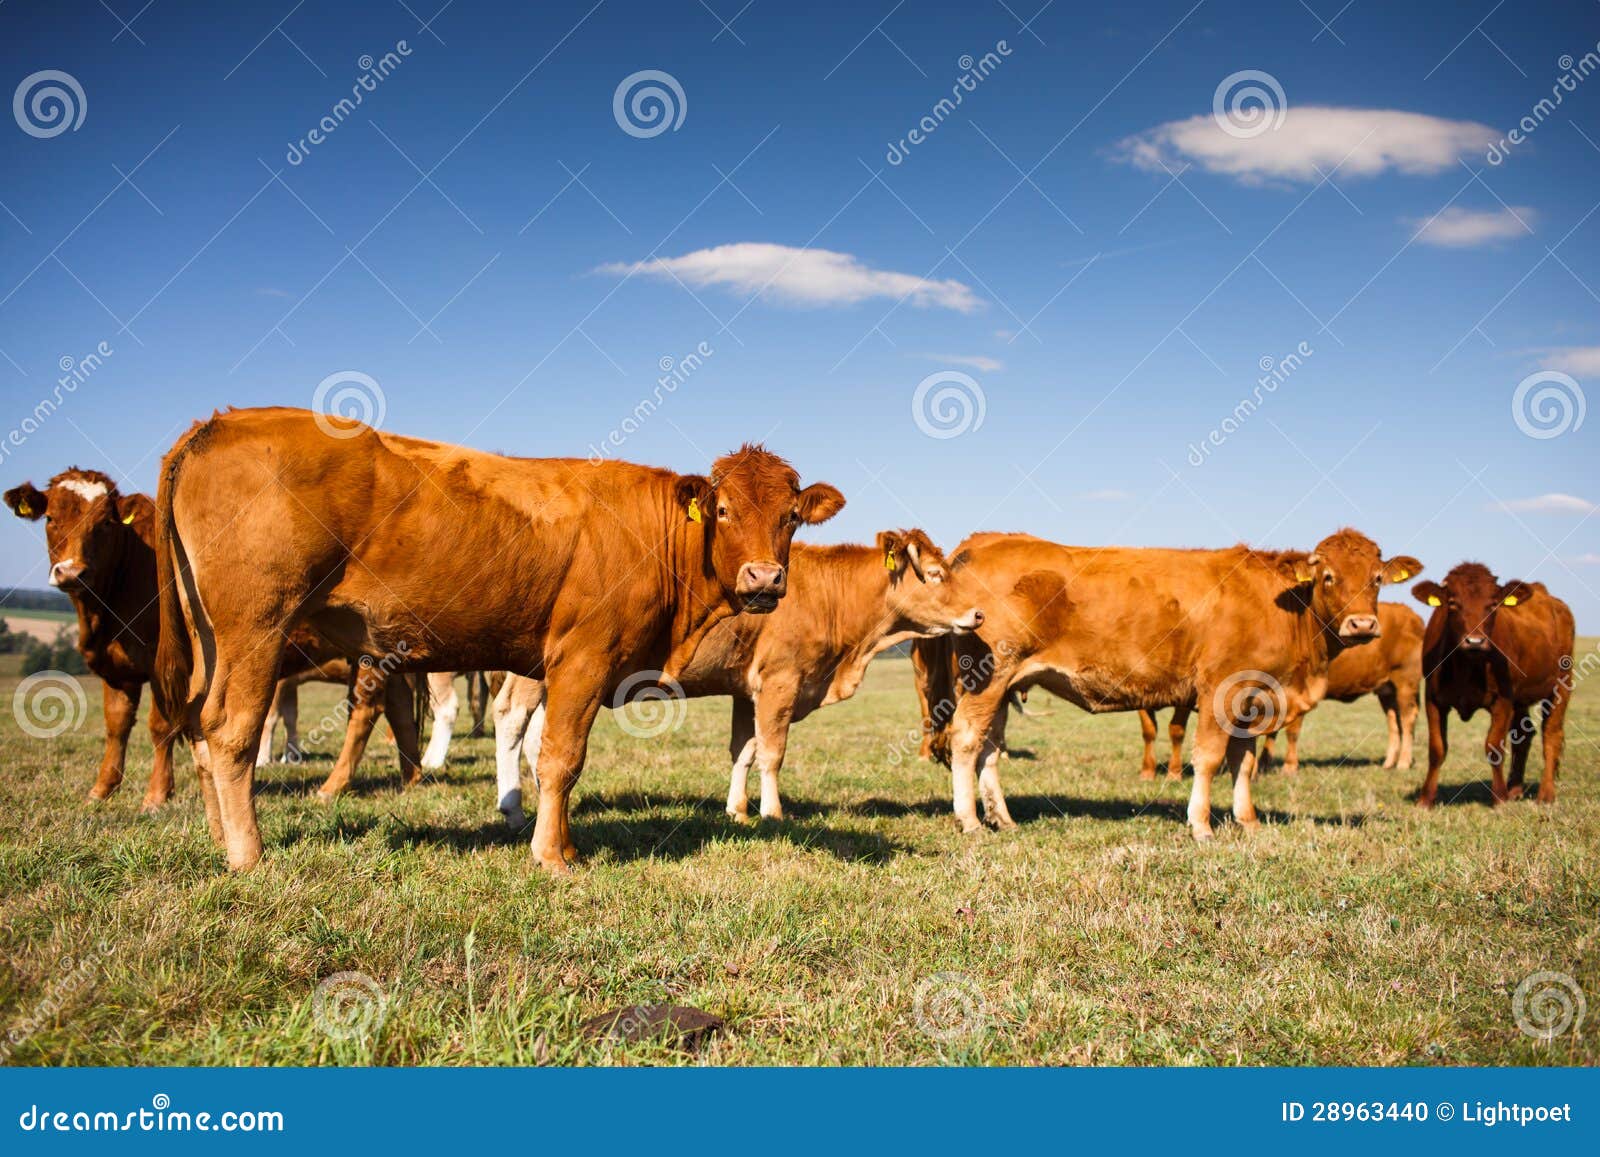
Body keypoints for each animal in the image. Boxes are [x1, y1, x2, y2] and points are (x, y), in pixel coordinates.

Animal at [5, 468, 422, 811]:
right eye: (51, 519)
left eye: (106, 523)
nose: (71, 572)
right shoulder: (117, 669)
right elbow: (116, 725)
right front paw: (102, 789)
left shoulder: (164, 666)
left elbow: (160, 727)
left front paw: (157, 795)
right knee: (399, 706)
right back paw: (410, 777)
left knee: (366, 711)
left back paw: (335, 786)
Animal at [153, 407, 843, 873]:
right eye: (723, 511)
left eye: (790, 517)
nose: (764, 579)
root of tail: (216, 423)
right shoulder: (584, 658)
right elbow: (560, 758)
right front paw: (551, 856)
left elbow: (549, 758)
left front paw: (565, 844)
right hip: (256, 628)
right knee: (230, 730)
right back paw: (246, 852)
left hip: (209, 639)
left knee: (198, 727)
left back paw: (217, 835)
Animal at [490, 529, 985, 827]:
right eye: (935, 574)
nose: (979, 613)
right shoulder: (781, 683)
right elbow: (772, 753)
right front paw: (773, 812)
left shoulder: (747, 691)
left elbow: (744, 751)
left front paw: (738, 809)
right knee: (511, 720)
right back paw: (513, 809)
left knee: (536, 733)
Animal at [1134, 601, 1425, 778]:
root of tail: (1410, 613)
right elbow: (1151, 731)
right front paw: (1148, 771)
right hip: (1386, 689)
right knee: (1394, 721)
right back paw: (1389, 761)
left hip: (1406, 681)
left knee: (1408, 718)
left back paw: (1402, 762)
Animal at [1411, 564, 1575, 807]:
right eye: (1453, 602)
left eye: (1493, 604)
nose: (1475, 641)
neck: (1467, 667)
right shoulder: (1433, 699)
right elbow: (1437, 749)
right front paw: (1426, 799)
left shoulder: (1503, 700)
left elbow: (1494, 747)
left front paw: (1499, 799)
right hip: (1521, 698)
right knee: (1524, 735)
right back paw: (1514, 789)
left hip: (1561, 686)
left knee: (1551, 735)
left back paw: (1545, 794)